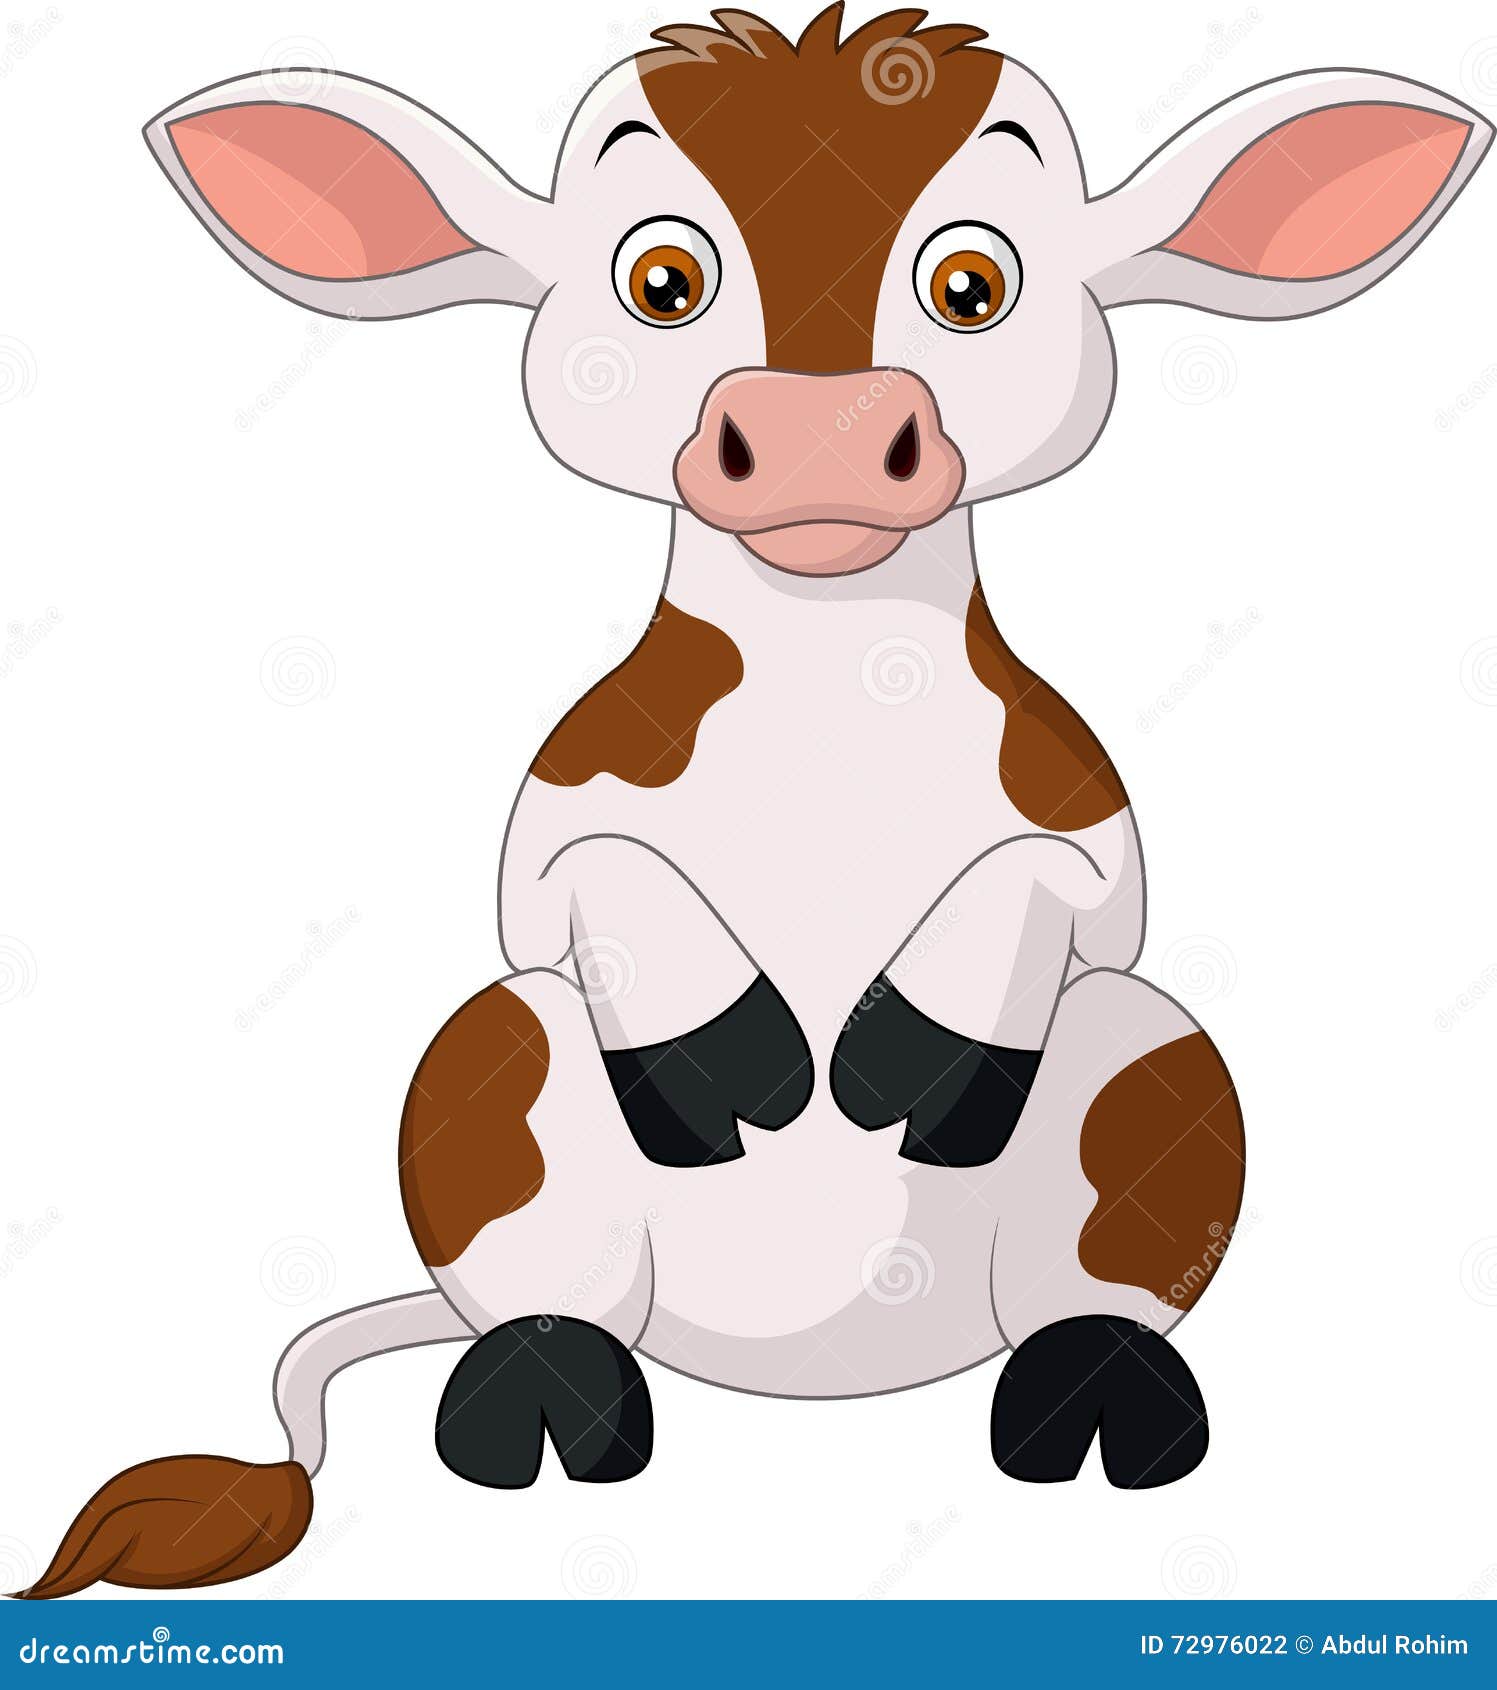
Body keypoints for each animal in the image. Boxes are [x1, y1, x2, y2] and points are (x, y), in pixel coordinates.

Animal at [18, 5, 1488, 1596]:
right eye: (663, 281)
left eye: (972, 286)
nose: (821, 429)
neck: (832, 676)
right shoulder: (560, 814)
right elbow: (598, 876)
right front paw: (735, 1054)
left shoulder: (1086, 822)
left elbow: (1049, 882)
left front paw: (911, 1054)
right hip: (504, 1075)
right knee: (533, 1214)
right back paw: (540, 1404)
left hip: (1143, 1064)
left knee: (1108, 1225)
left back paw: (1097, 1402)